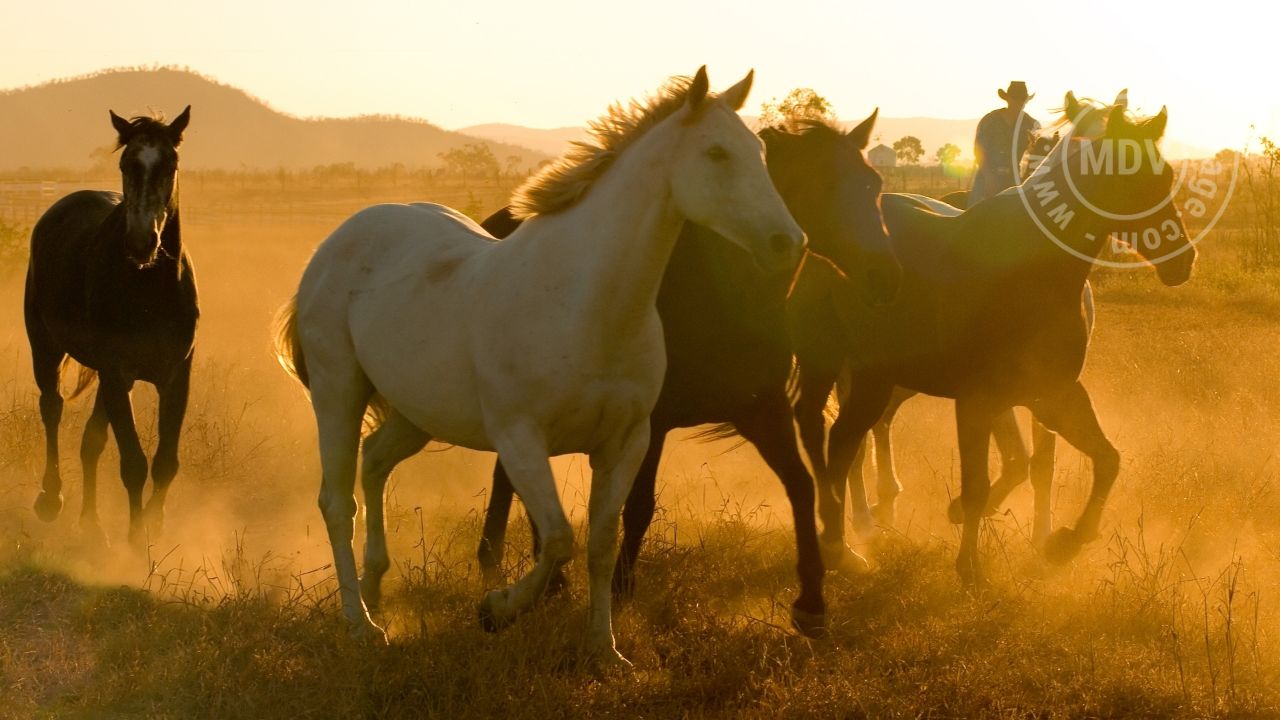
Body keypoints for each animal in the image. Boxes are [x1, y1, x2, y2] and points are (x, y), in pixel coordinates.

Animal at [26, 105, 197, 543]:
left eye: (170, 164)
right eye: (125, 163)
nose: (141, 242)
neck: (149, 288)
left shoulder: (175, 375)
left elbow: (165, 462)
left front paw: (155, 524)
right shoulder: (117, 373)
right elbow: (133, 462)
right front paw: (136, 541)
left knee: (92, 440)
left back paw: (92, 523)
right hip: (46, 348)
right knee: (51, 407)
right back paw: (50, 498)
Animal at [276, 68, 803, 666]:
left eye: (760, 151)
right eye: (716, 152)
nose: (788, 242)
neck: (585, 305)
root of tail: (335, 243)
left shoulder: (626, 441)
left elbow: (601, 544)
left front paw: (604, 651)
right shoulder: (521, 439)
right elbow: (557, 538)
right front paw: (497, 609)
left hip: (416, 415)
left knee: (374, 462)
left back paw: (374, 592)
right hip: (338, 392)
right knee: (337, 502)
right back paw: (360, 624)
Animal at [473, 114, 901, 635]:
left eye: (874, 183)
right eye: (822, 184)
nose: (884, 275)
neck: (718, 292)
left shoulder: (763, 411)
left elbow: (801, 485)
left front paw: (812, 602)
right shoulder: (648, 423)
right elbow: (638, 507)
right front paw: (622, 588)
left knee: (510, 474)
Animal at [793, 101, 1192, 579]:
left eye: (1165, 176)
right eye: (1129, 178)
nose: (1182, 261)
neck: (1033, 275)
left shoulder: (1053, 395)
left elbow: (1102, 460)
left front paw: (1063, 544)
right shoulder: (977, 401)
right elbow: (980, 485)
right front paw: (969, 566)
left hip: (878, 380)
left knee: (847, 441)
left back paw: (847, 543)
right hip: (842, 371)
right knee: (839, 442)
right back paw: (849, 537)